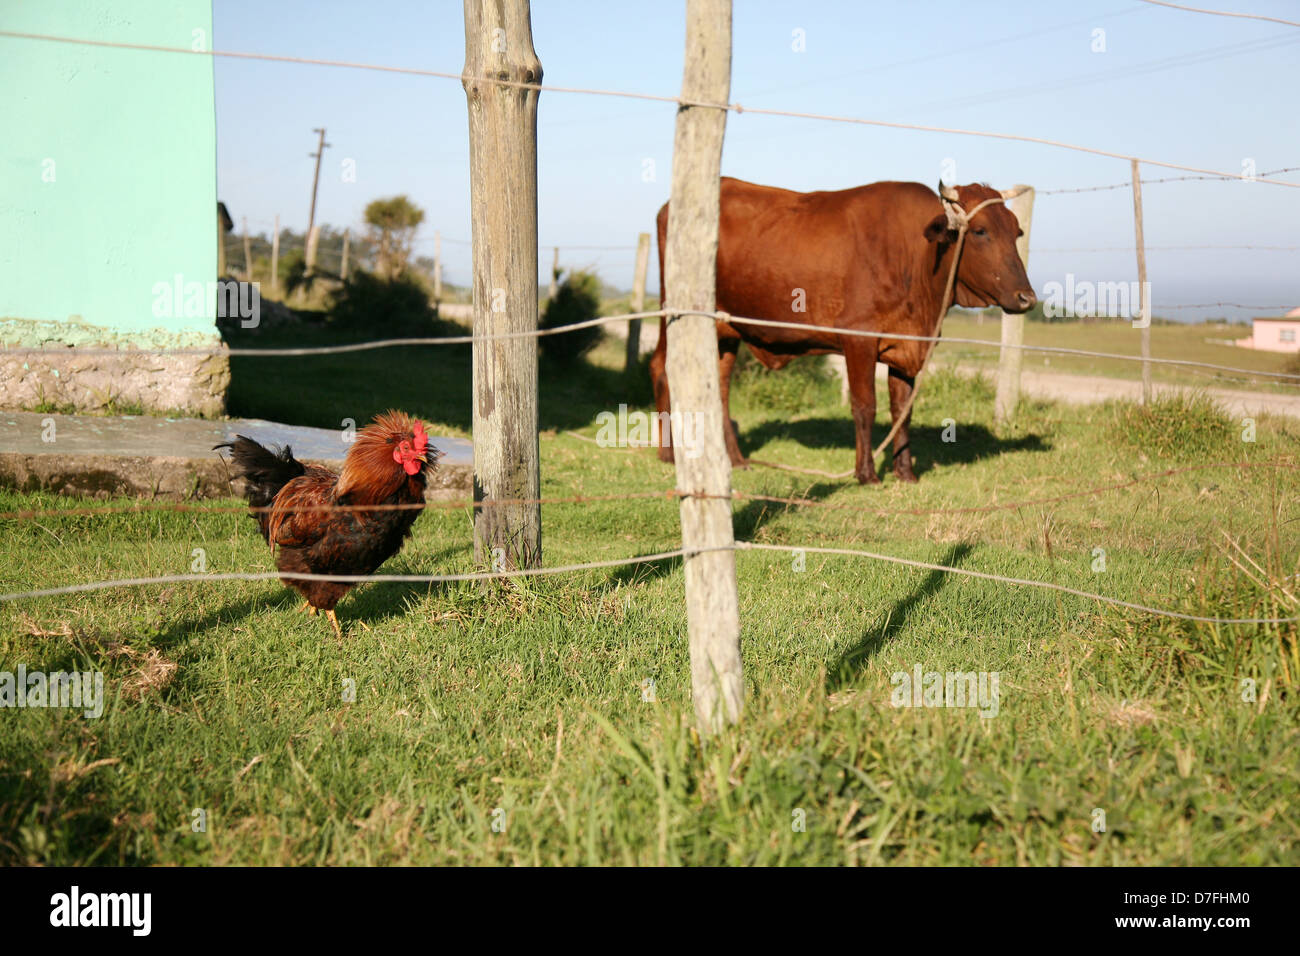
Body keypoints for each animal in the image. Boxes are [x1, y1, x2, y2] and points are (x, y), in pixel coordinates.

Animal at [650, 177, 1036, 484]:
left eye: (1017, 231)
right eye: (980, 230)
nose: (1027, 298)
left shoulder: (907, 346)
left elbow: (902, 411)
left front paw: (905, 473)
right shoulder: (858, 340)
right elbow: (865, 406)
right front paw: (867, 474)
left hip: (726, 331)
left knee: (720, 389)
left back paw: (736, 459)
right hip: (674, 313)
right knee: (662, 367)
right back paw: (669, 455)